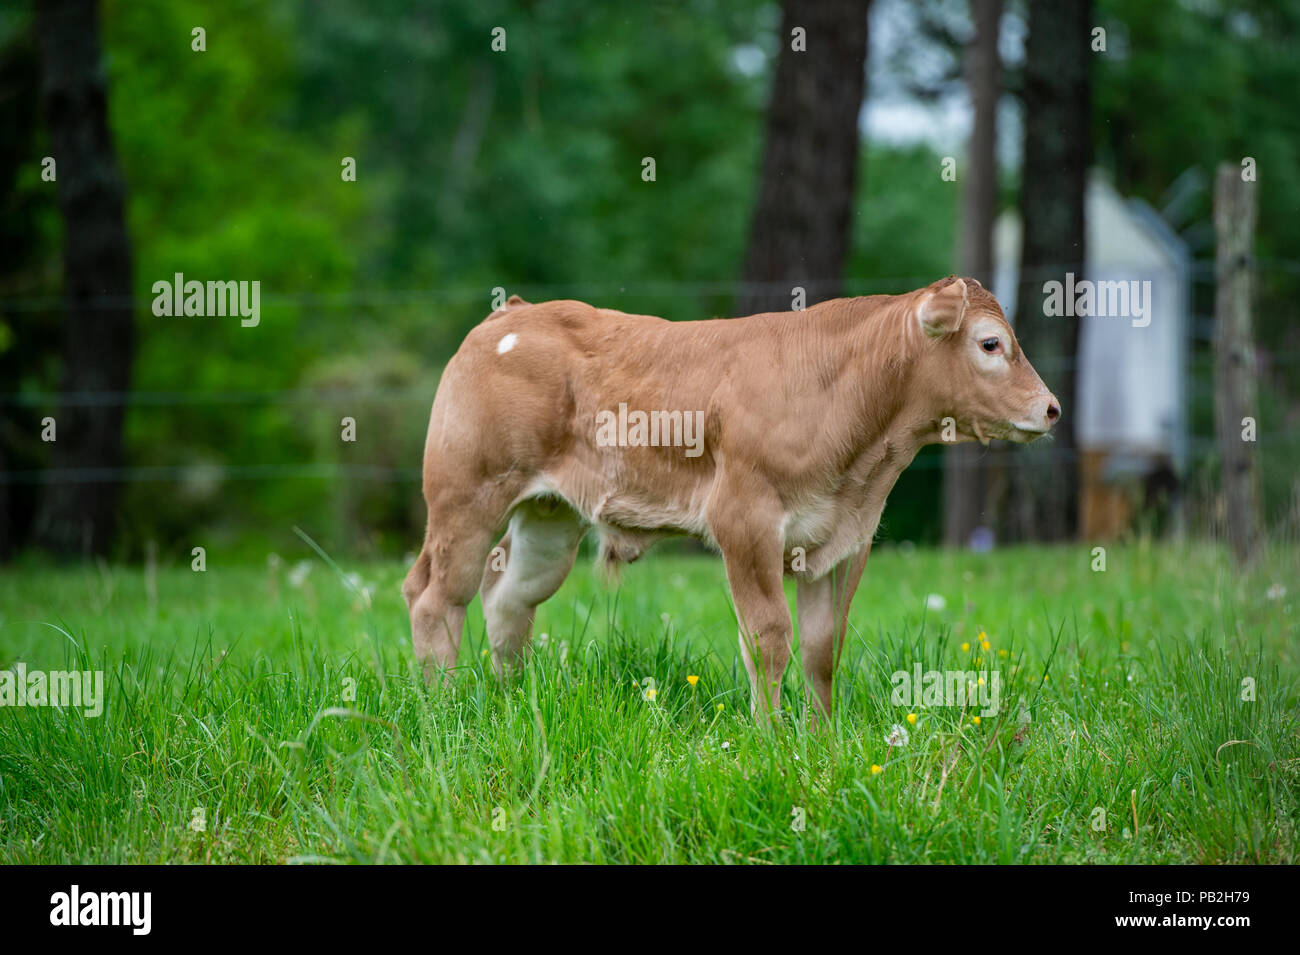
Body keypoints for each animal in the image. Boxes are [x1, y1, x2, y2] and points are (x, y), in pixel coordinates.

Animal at [402, 276, 1060, 724]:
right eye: (991, 344)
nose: (1052, 408)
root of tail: (512, 314)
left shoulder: (846, 540)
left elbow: (823, 647)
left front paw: (823, 738)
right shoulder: (745, 521)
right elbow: (768, 638)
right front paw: (770, 736)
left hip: (549, 517)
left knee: (509, 599)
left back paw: (510, 700)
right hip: (466, 497)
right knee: (435, 597)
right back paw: (442, 707)